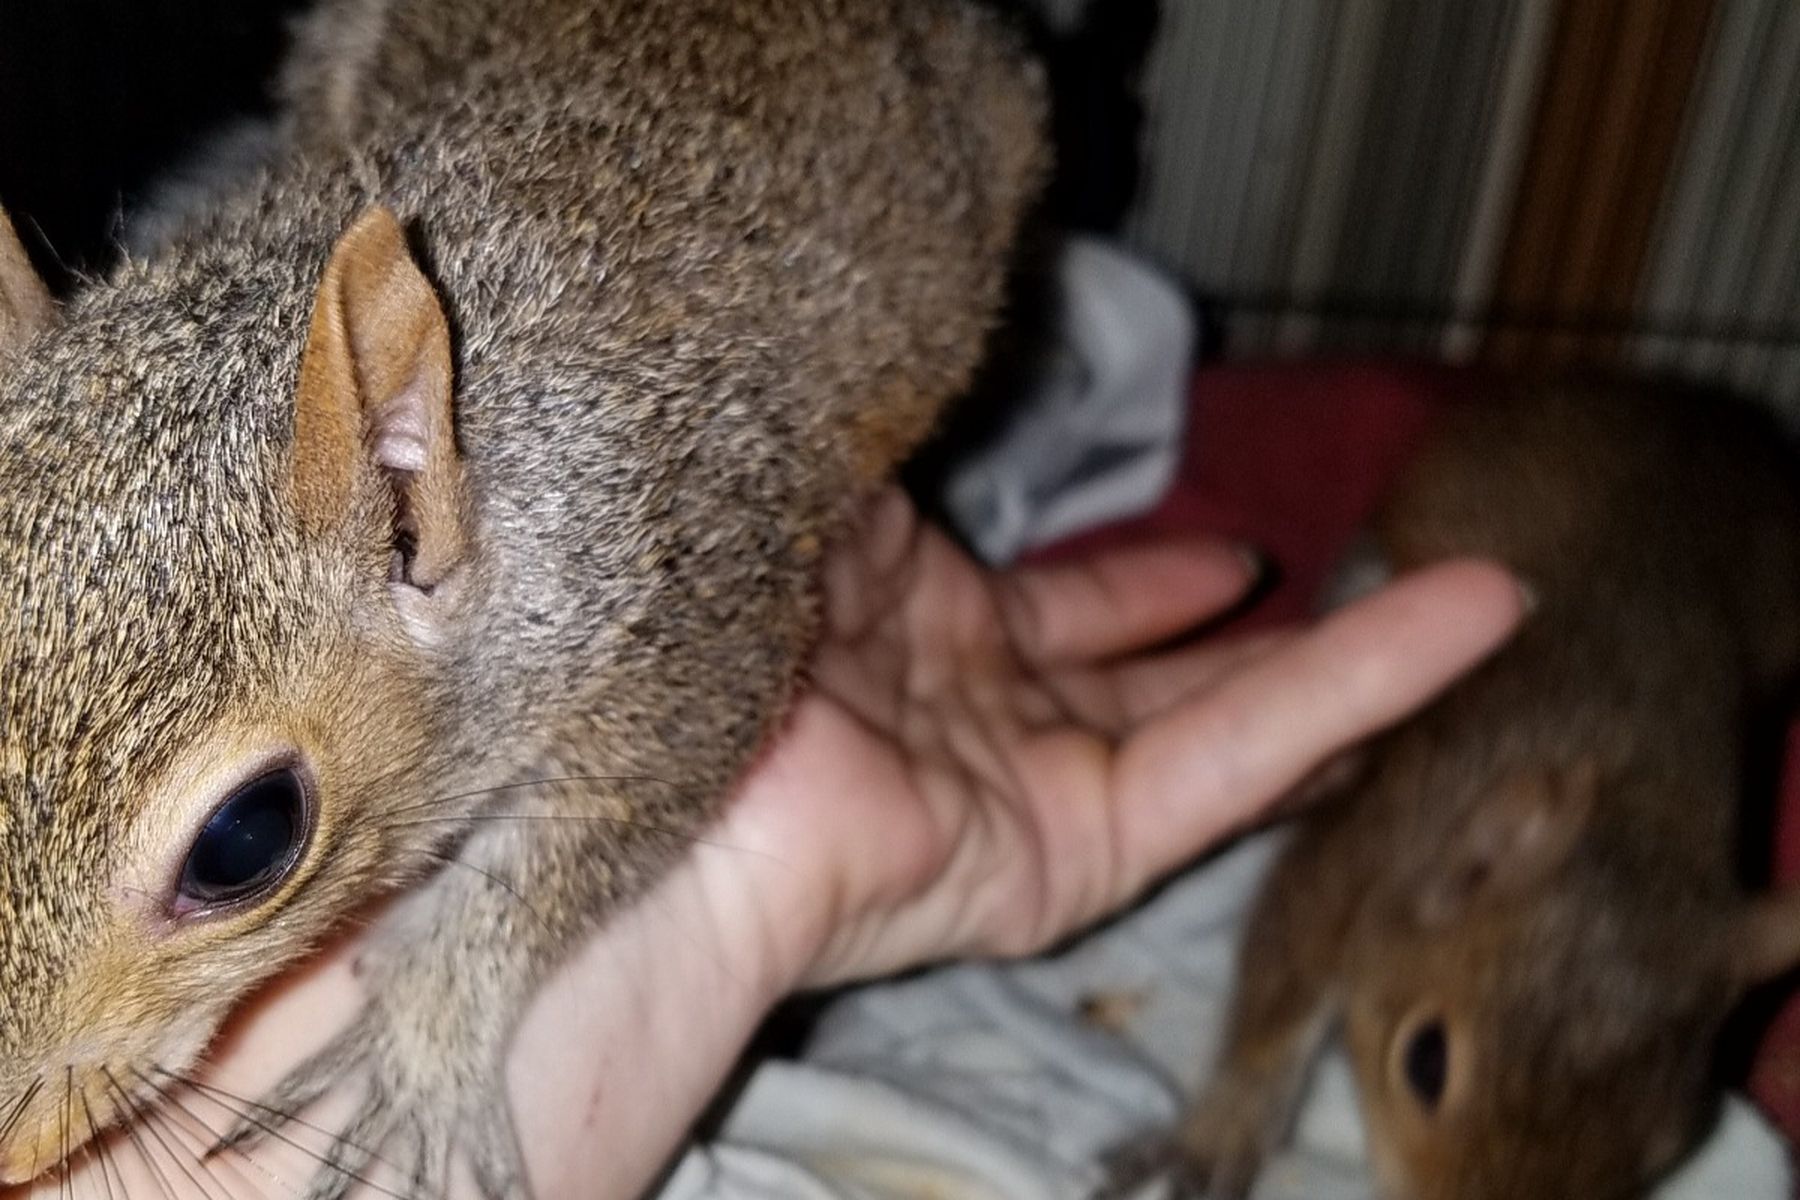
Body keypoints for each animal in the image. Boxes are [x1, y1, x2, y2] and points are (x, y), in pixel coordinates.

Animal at [1103, 380, 1800, 1199]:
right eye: (1425, 1061)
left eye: (1663, 1153)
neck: (1637, 805)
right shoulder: (1365, 850)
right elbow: (1281, 980)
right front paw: (1220, 1134)